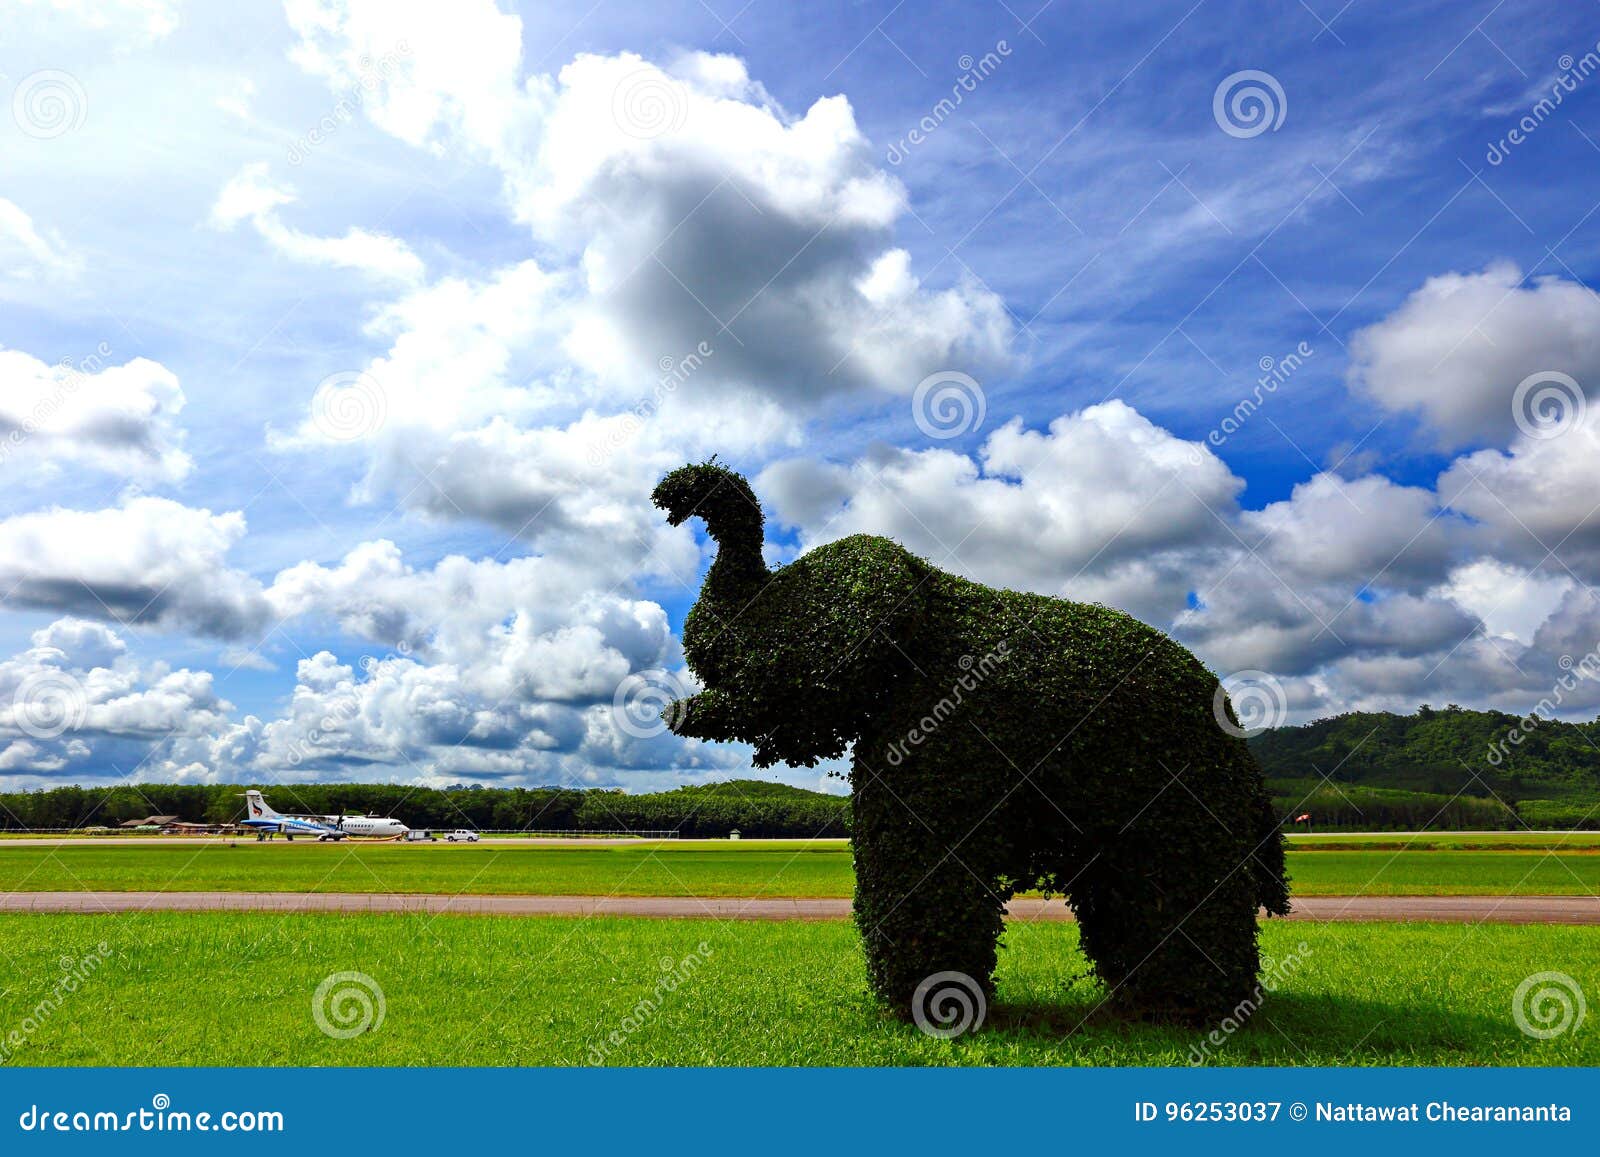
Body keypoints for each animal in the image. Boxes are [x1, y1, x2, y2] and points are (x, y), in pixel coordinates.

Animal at [651, 460, 1290, 1022]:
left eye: (769, 615)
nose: (673, 502)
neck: (927, 585)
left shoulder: (946, 727)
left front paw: (934, 1014)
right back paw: (1155, 1008)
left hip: (1188, 790)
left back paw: (1194, 1013)